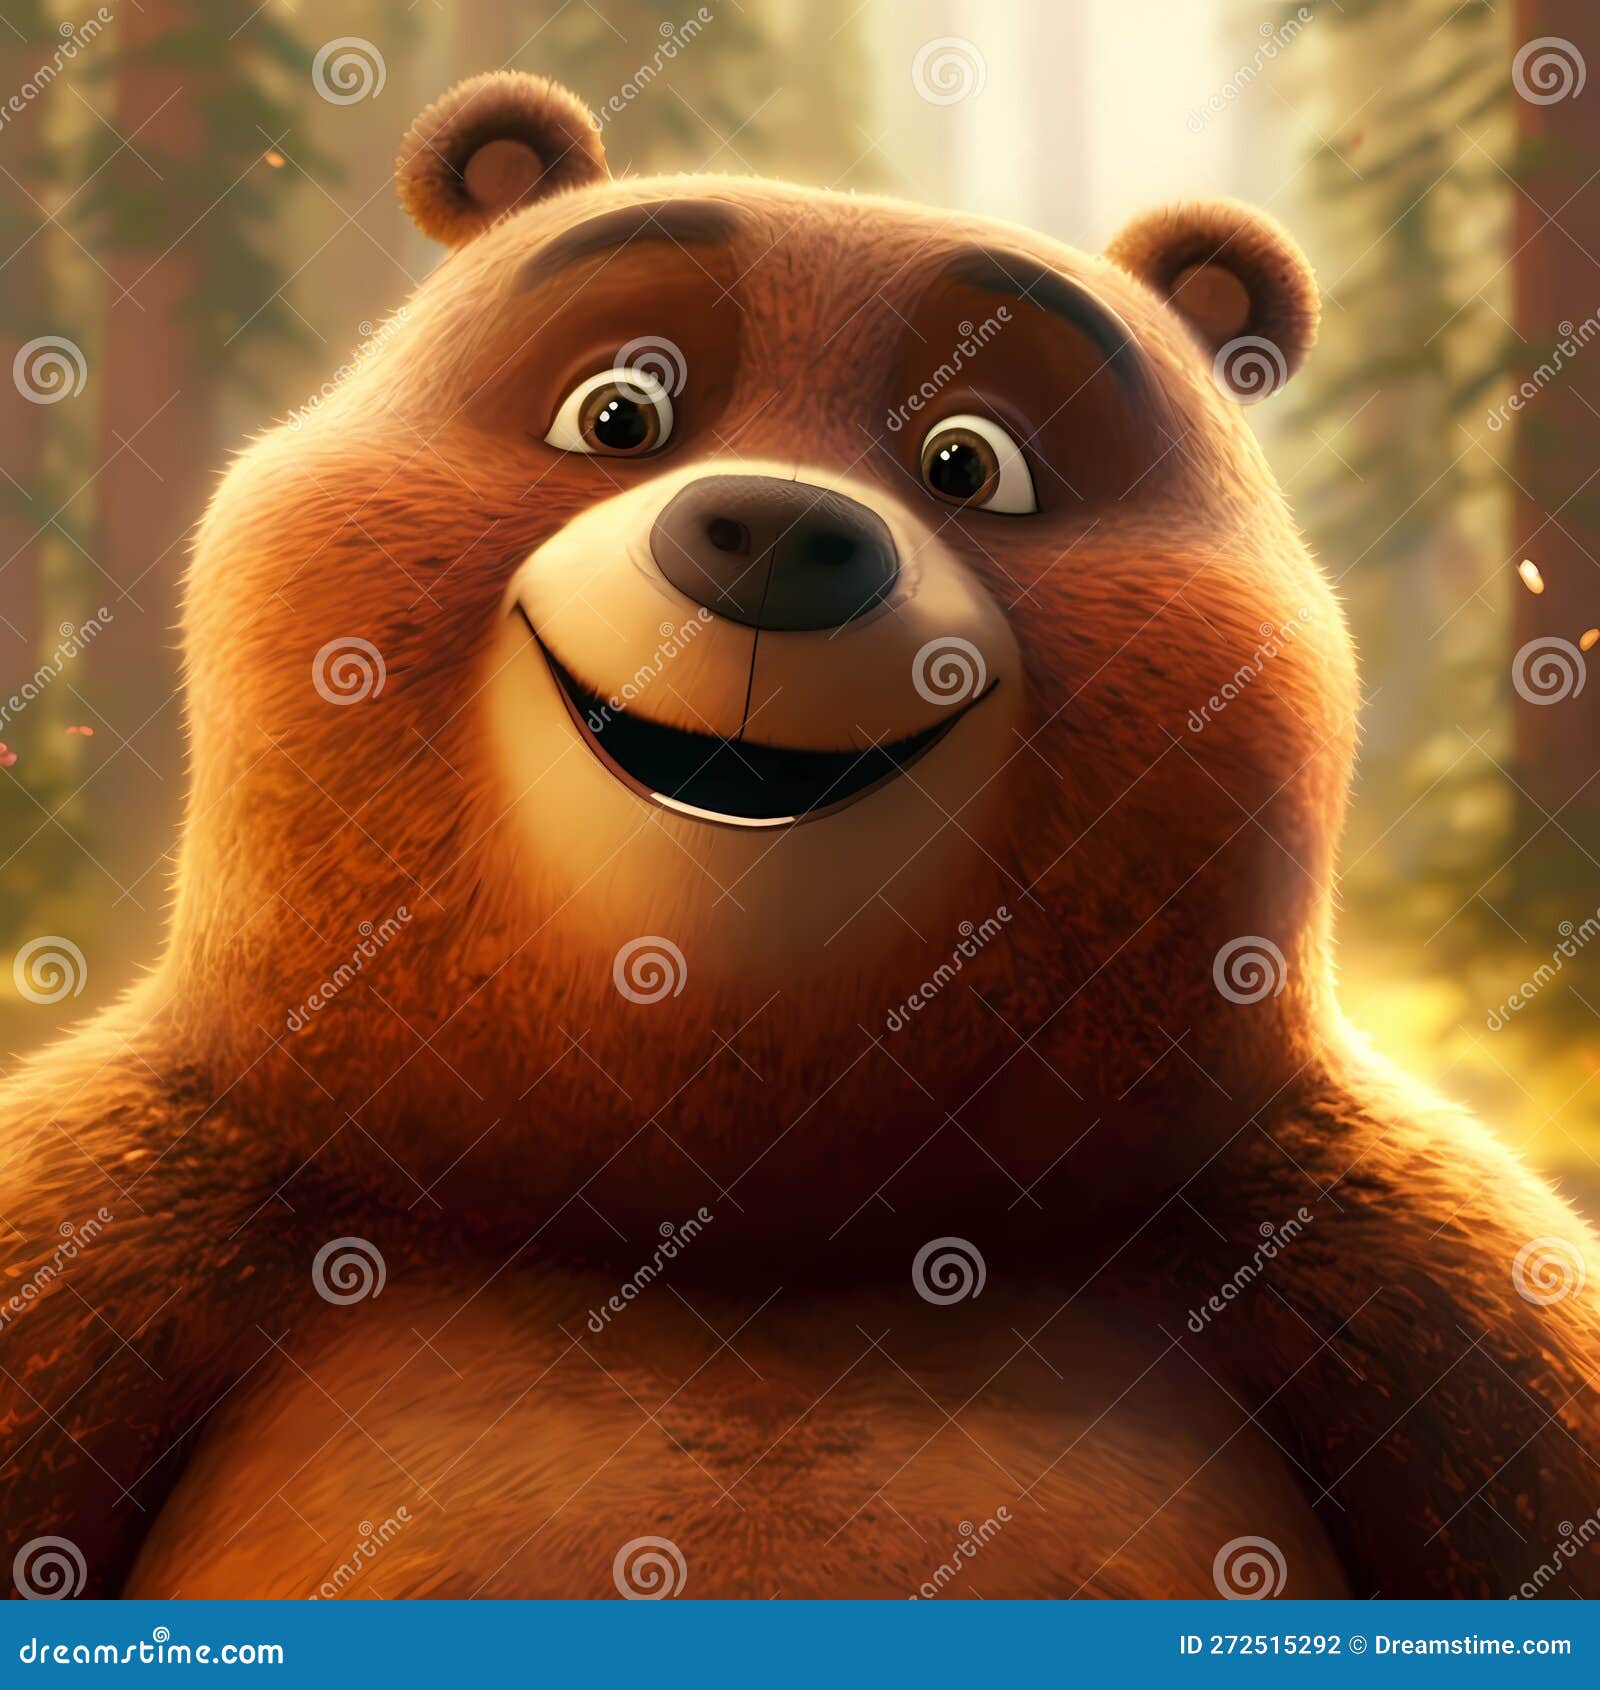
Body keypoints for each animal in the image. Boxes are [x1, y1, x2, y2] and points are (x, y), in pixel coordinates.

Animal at [1, 70, 1597, 1600]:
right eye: (616, 412)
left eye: (972, 463)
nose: (774, 534)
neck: (735, 1210)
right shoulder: (153, 1206)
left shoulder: (1370, 1261)